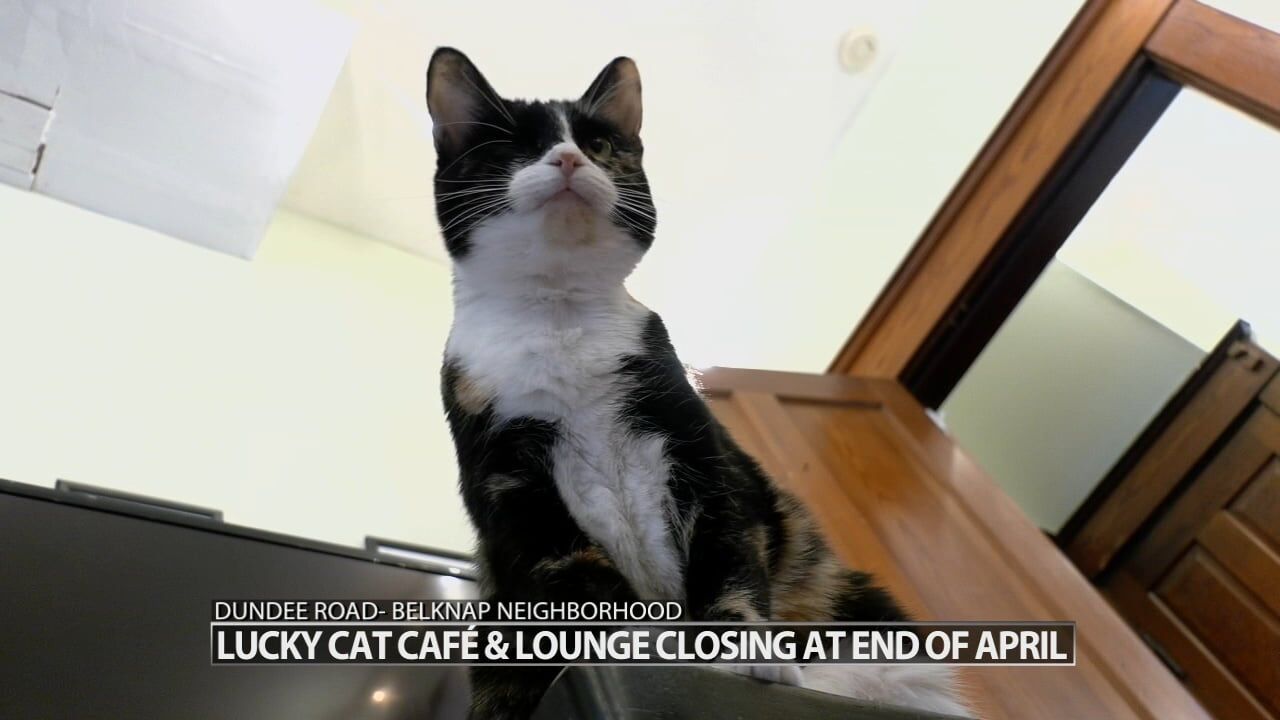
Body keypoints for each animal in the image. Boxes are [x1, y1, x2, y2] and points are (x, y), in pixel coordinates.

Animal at [427, 47, 968, 720]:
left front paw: (744, 650)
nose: (570, 158)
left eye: (600, 144)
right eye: (516, 148)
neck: (559, 319)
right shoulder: (511, 487)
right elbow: (582, 580)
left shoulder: (700, 451)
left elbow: (728, 550)